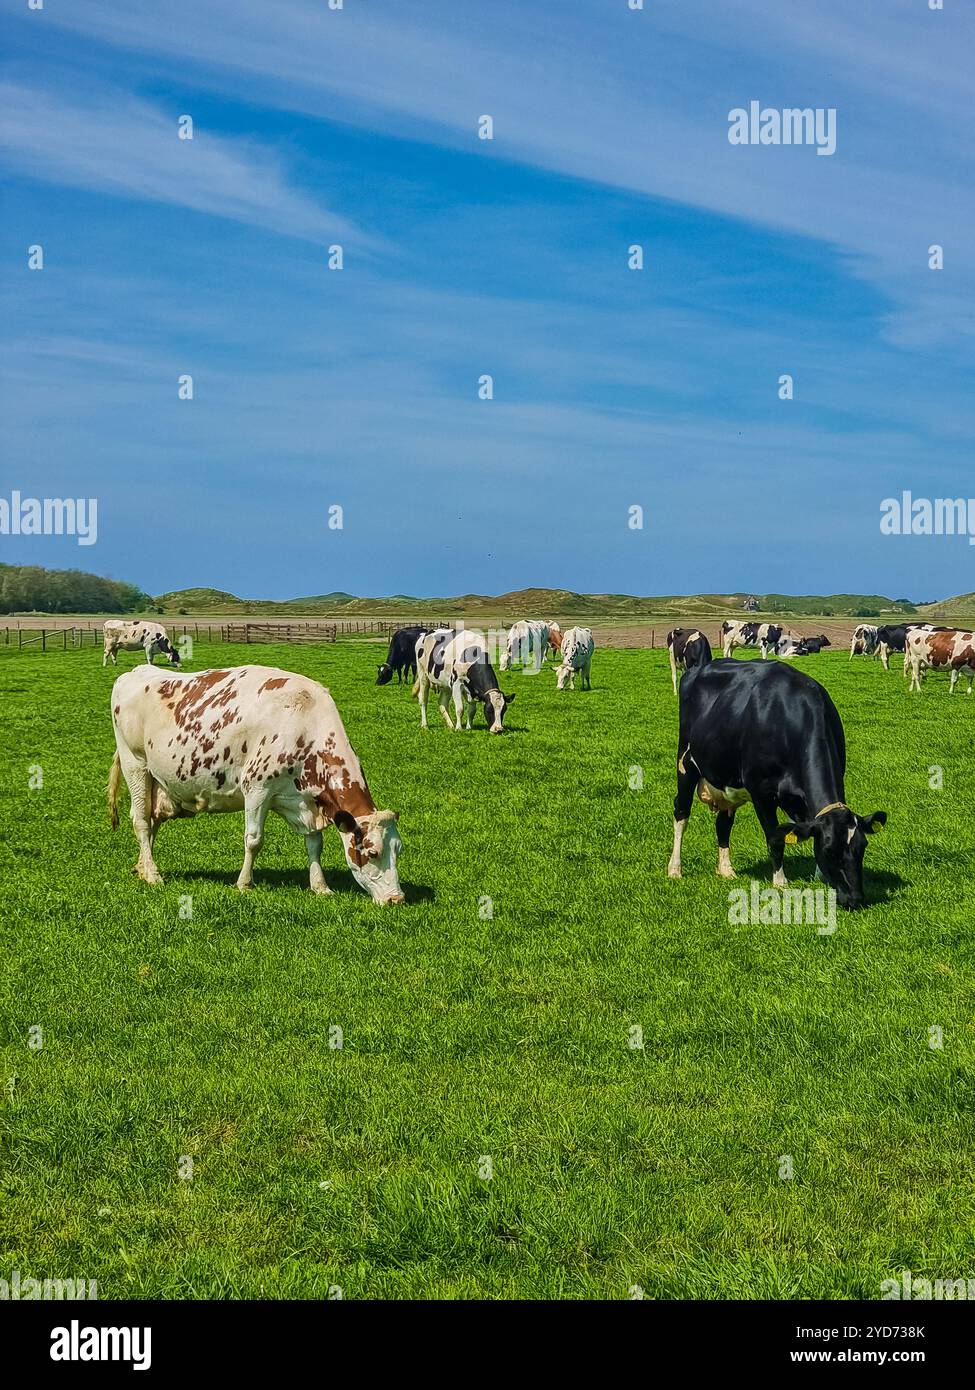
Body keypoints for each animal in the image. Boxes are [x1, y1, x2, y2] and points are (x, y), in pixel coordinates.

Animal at [108, 664, 404, 903]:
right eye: (373, 852)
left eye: (398, 850)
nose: (397, 899)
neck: (304, 722)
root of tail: (135, 672)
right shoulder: (257, 788)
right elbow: (254, 840)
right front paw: (244, 883)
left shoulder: (305, 801)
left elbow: (314, 843)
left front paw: (320, 886)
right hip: (135, 764)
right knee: (141, 820)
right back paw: (153, 874)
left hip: (159, 782)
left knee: (152, 819)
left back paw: (142, 867)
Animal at [667, 658, 886, 910]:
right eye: (830, 852)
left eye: (862, 847)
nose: (855, 899)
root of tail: (698, 668)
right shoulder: (761, 793)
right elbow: (775, 837)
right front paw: (780, 882)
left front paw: (819, 877)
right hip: (685, 762)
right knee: (681, 812)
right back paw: (675, 869)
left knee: (723, 823)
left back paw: (726, 870)